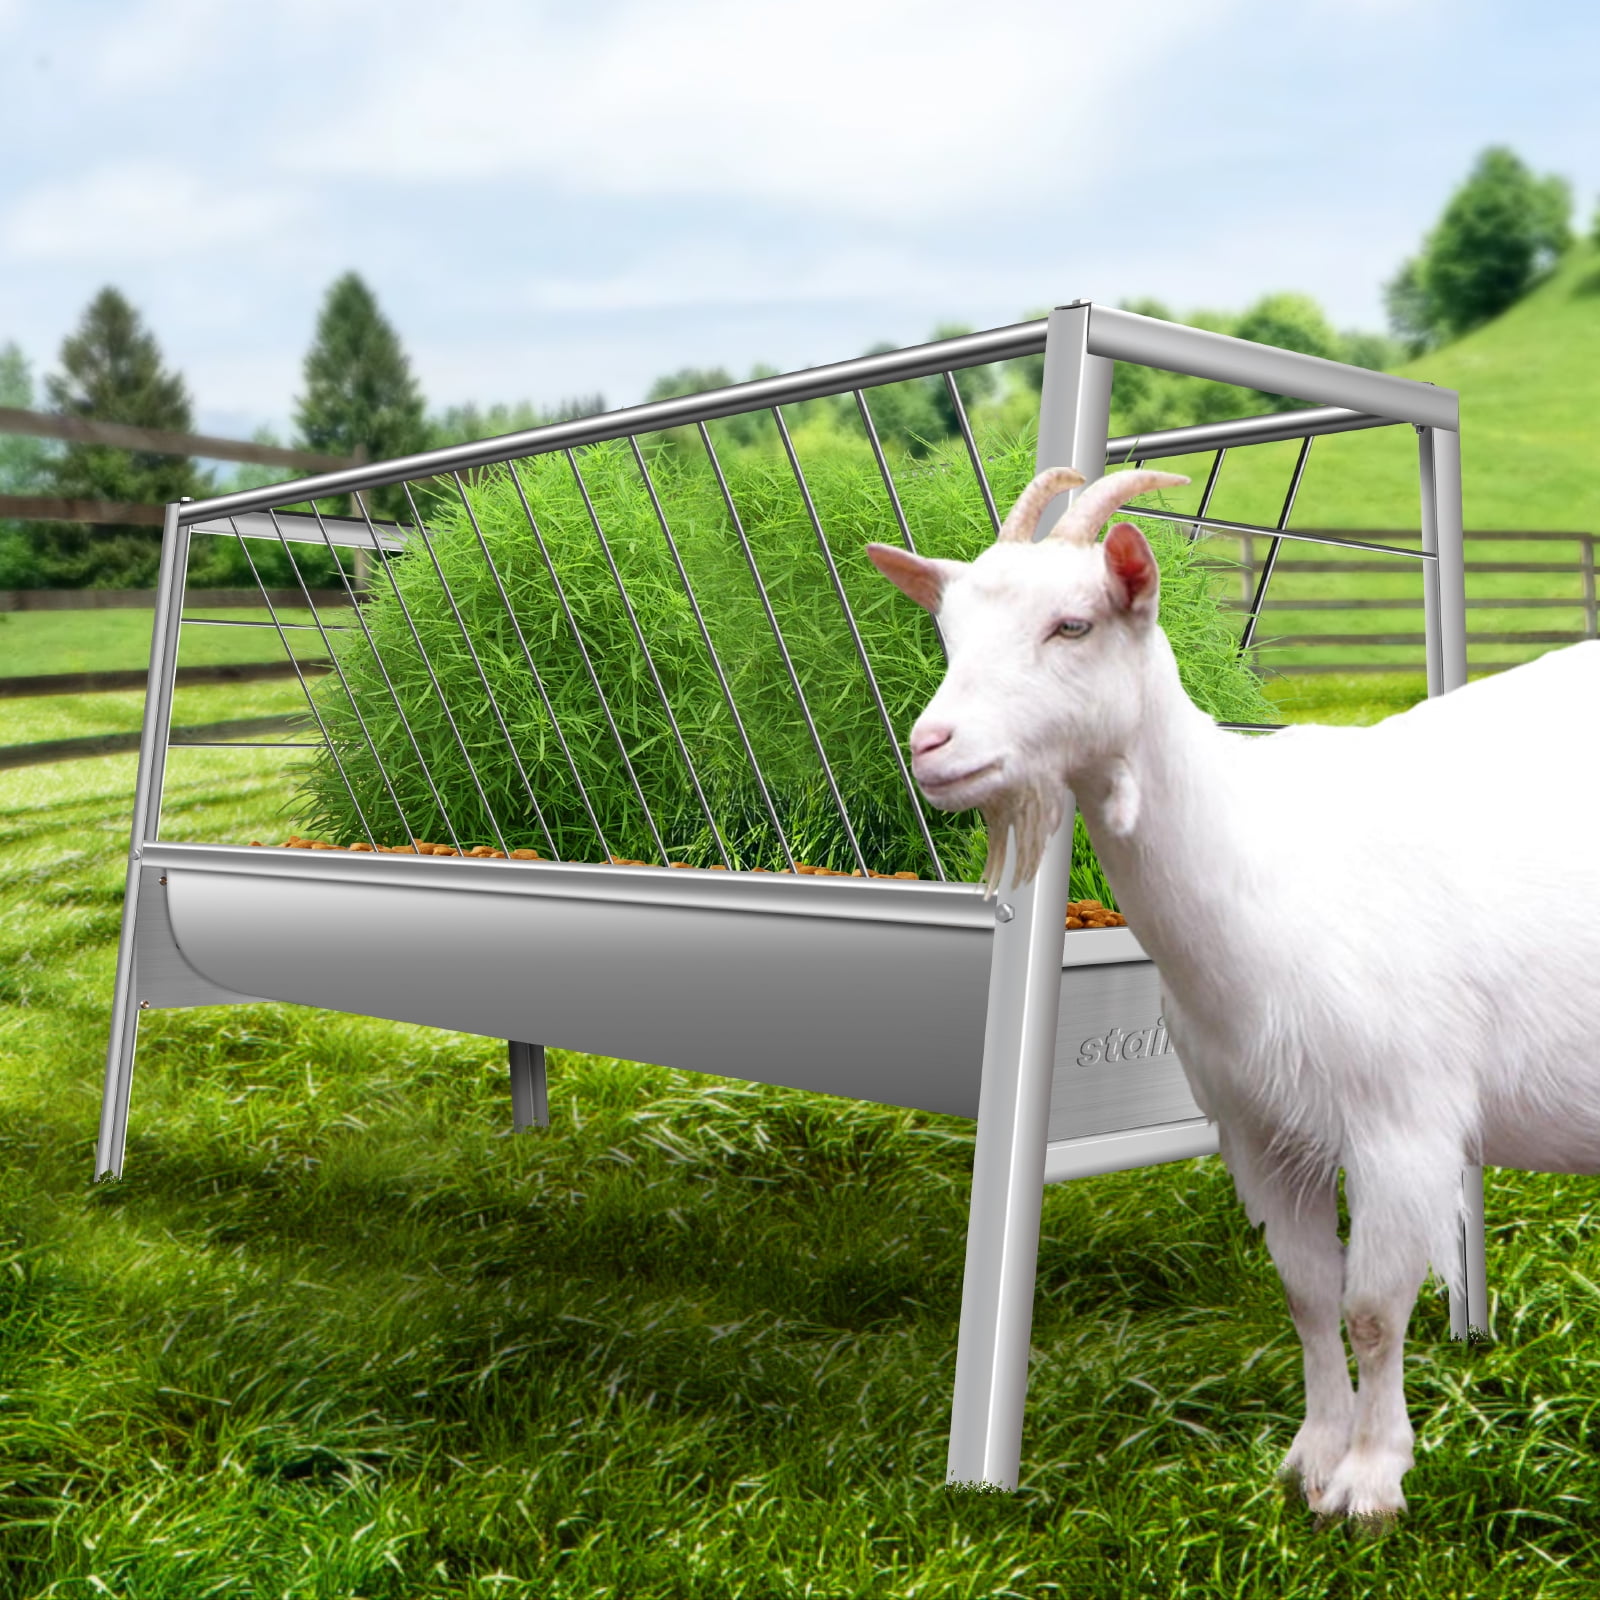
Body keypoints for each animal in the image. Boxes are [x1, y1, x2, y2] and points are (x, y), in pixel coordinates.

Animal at [866, 466, 1600, 1519]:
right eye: (949, 632)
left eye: (1074, 625)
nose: (932, 748)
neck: (1258, 854)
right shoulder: (1260, 1130)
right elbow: (1309, 1297)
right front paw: (1310, 1460)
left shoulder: (1403, 1122)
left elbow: (1373, 1309)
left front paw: (1372, 1483)